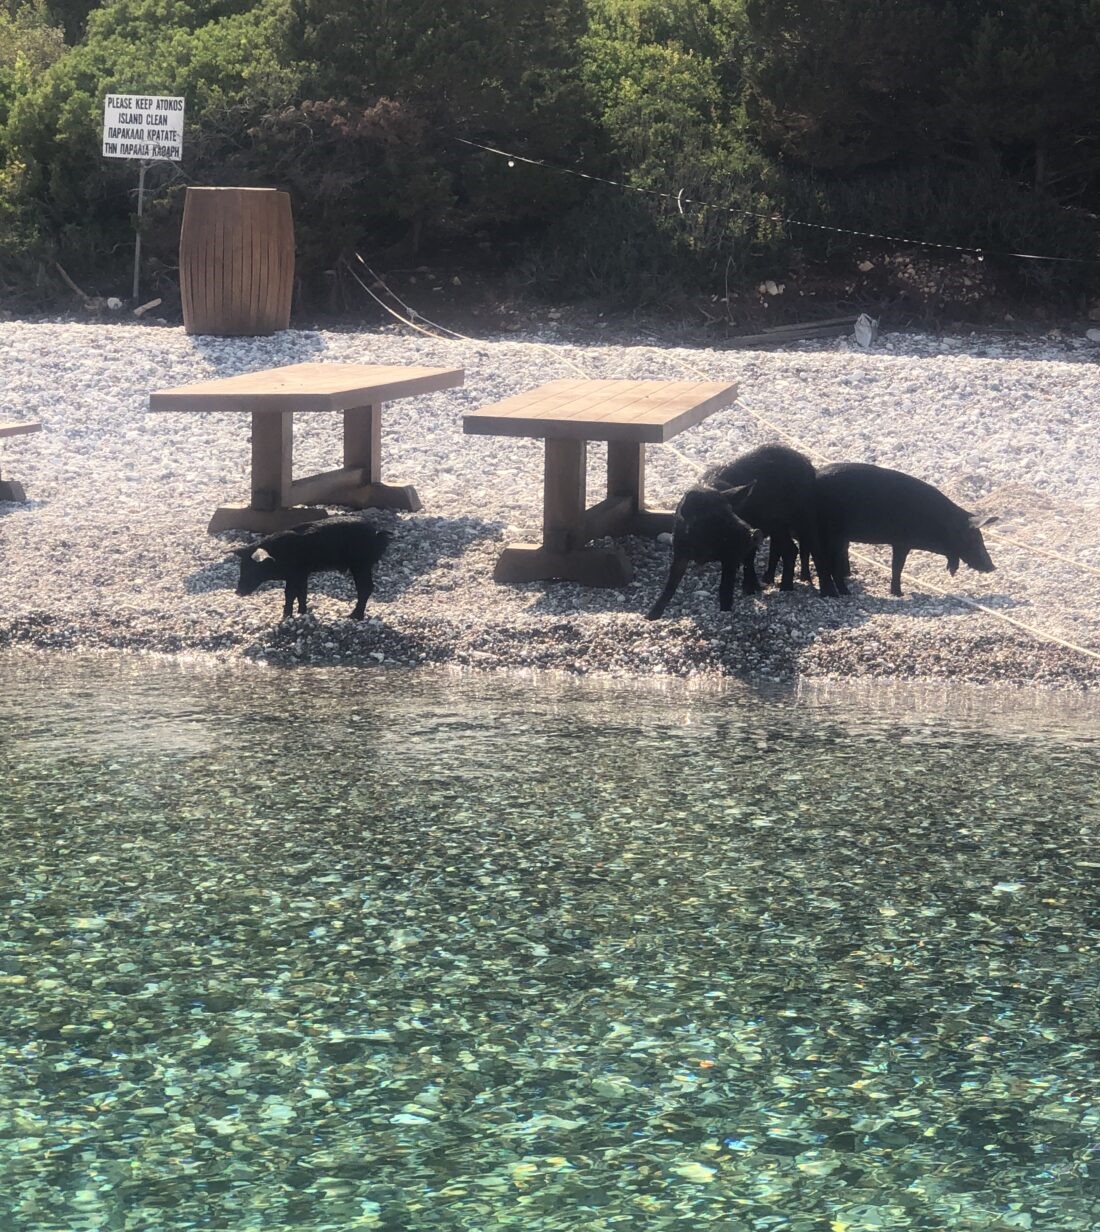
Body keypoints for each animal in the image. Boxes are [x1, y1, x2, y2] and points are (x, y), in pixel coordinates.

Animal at [231, 517, 392, 620]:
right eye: (241, 568)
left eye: (253, 569)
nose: (238, 592)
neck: (278, 555)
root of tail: (377, 533)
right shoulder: (303, 574)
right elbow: (302, 593)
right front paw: (302, 613)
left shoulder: (295, 575)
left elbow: (290, 594)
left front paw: (286, 617)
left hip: (361, 565)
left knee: (366, 588)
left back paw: (353, 617)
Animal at [646, 482, 757, 619]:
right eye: (715, 517)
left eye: (731, 511)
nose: (754, 532)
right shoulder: (679, 553)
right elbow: (671, 583)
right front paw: (651, 616)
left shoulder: (730, 557)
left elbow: (726, 587)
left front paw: (725, 611)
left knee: (749, 561)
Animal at [703, 445, 837, 596]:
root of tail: (807, 464)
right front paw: (751, 586)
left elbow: (749, 557)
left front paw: (750, 587)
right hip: (782, 525)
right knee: (790, 549)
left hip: (802, 516)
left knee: (808, 548)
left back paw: (820, 590)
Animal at [814, 462, 997, 597]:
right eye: (975, 539)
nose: (993, 567)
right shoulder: (901, 542)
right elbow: (897, 567)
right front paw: (898, 594)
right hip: (833, 532)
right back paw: (843, 592)